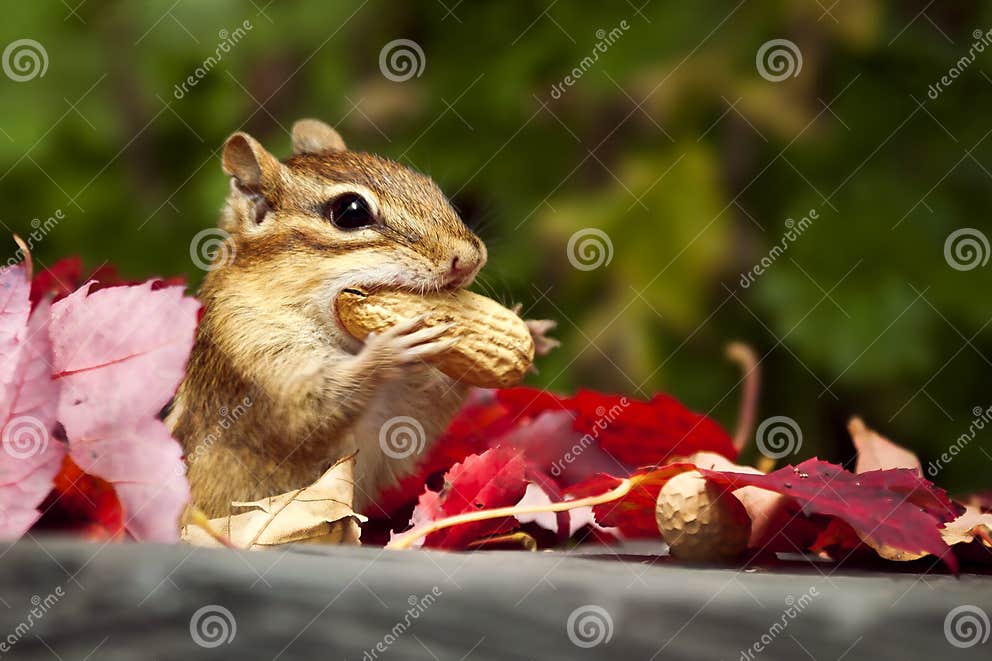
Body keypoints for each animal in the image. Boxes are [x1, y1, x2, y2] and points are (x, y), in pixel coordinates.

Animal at [168, 118, 555, 518]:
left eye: (428, 185)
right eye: (350, 211)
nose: (471, 258)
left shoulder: (403, 413)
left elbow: (432, 406)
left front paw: (530, 331)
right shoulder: (256, 360)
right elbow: (312, 411)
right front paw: (388, 349)